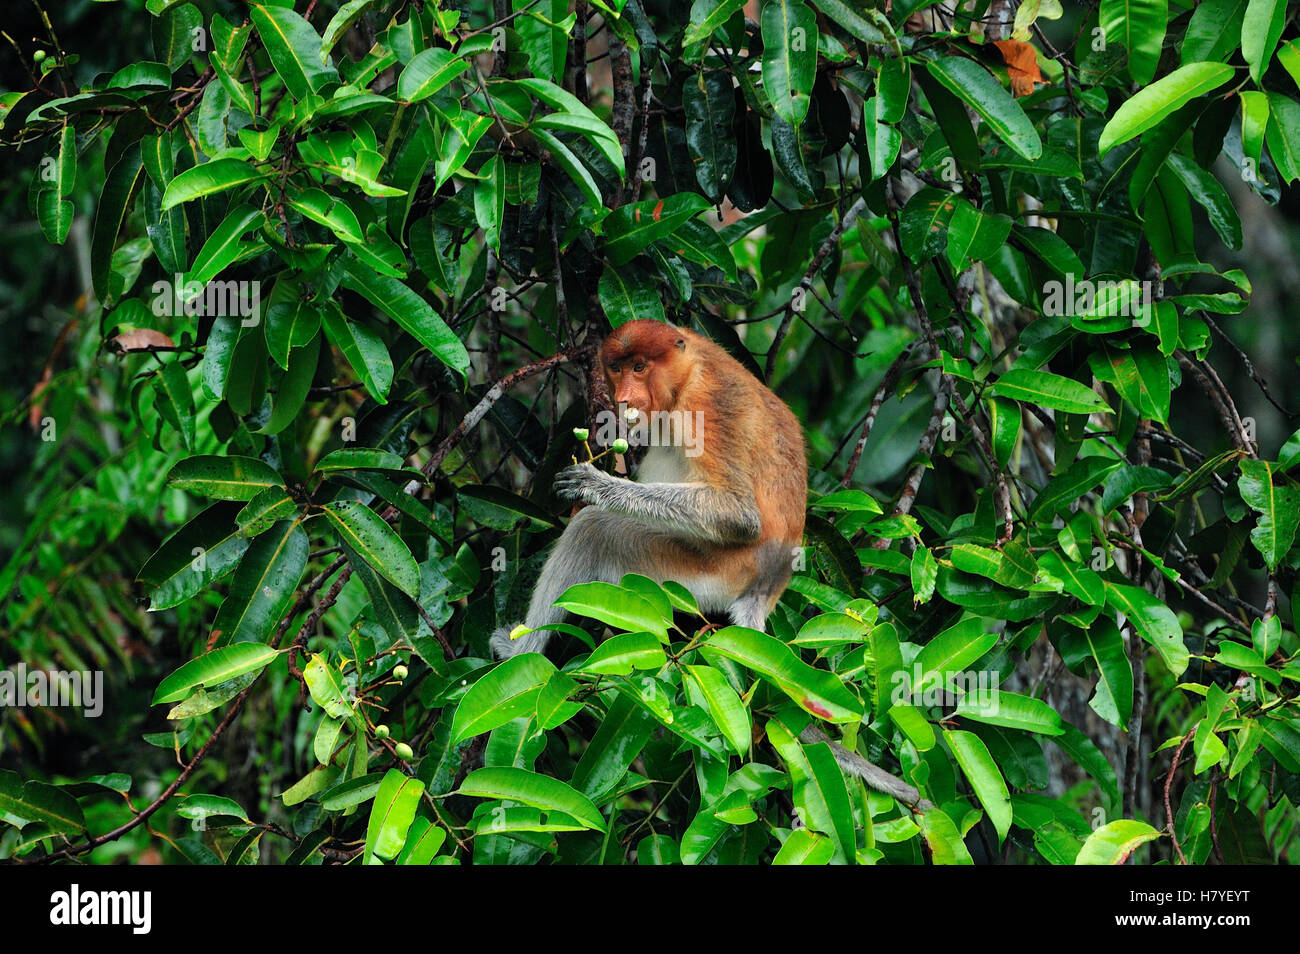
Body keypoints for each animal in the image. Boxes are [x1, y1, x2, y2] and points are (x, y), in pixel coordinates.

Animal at [490, 319, 807, 659]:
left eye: (640, 367)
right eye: (617, 369)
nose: (624, 396)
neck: (689, 369)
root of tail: (766, 587)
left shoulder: (703, 405)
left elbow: (739, 514)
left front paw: (592, 484)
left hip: (701, 575)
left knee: (593, 529)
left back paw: (520, 650)